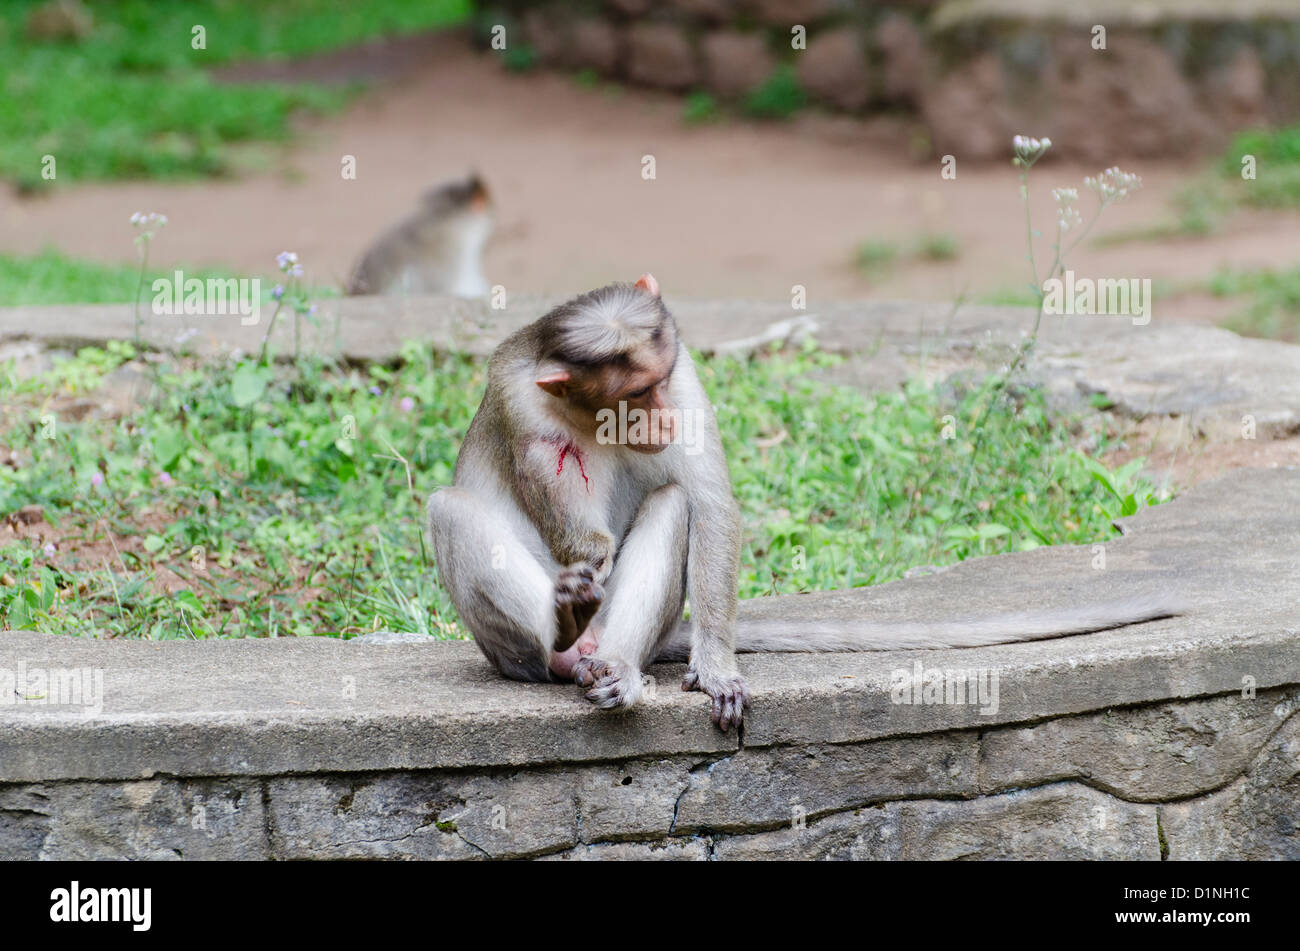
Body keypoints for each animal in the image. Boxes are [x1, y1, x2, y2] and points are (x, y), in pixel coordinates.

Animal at [427, 274, 1184, 732]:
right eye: (633, 392)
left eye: (659, 380)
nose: (663, 416)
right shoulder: (519, 396)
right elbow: (570, 519)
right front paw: (582, 561)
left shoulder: (688, 370)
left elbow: (710, 503)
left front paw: (718, 664)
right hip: (506, 651)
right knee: (449, 508)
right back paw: (563, 633)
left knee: (673, 504)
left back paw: (613, 670)